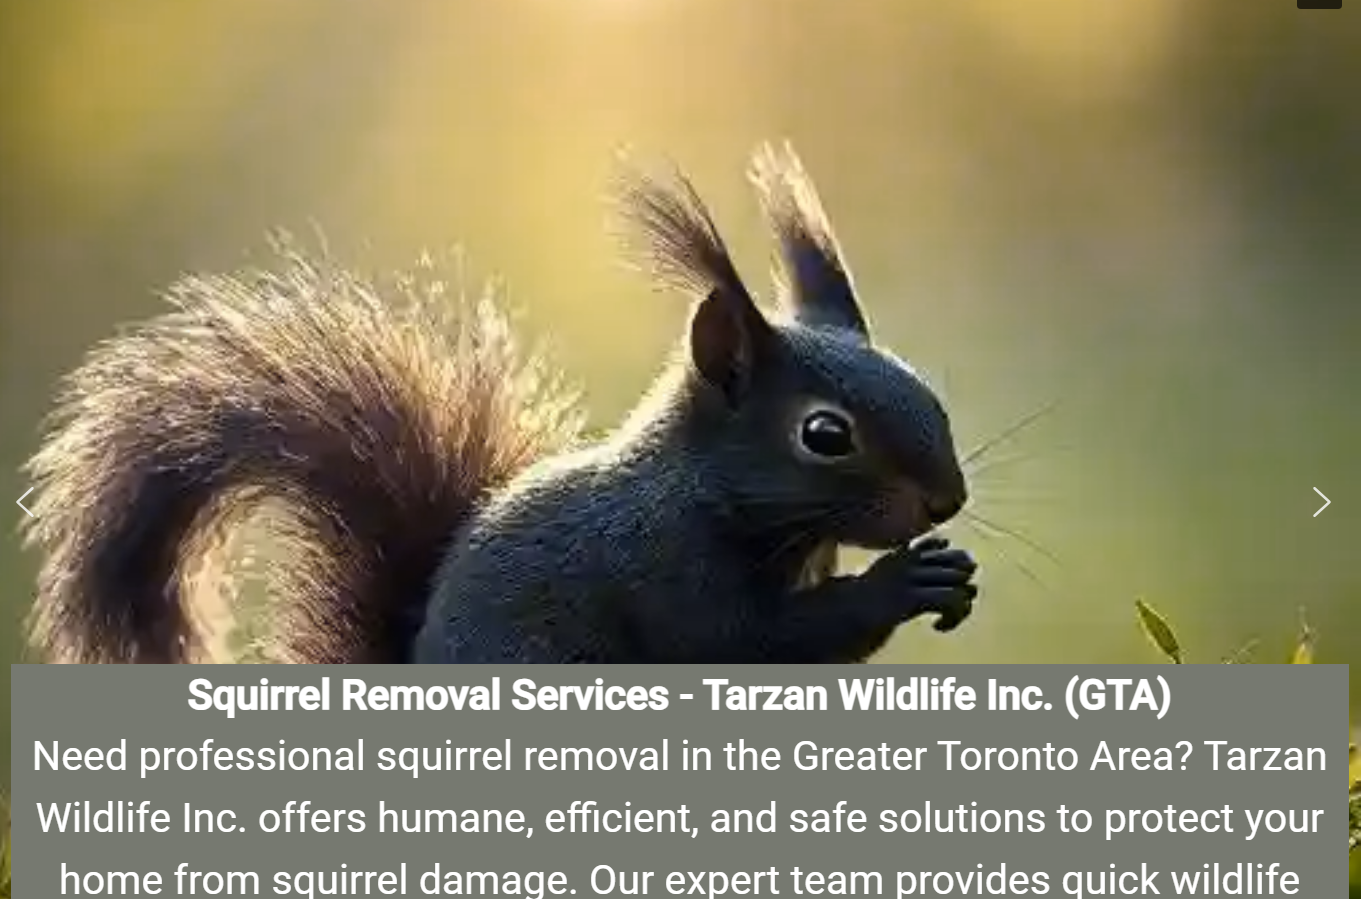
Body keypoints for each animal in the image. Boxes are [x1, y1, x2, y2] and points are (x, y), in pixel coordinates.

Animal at [21, 143, 978, 665]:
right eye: (824, 433)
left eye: (924, 386)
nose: (947, 500)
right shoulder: (662, 567)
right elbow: (751, 641)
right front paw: (906, 579)